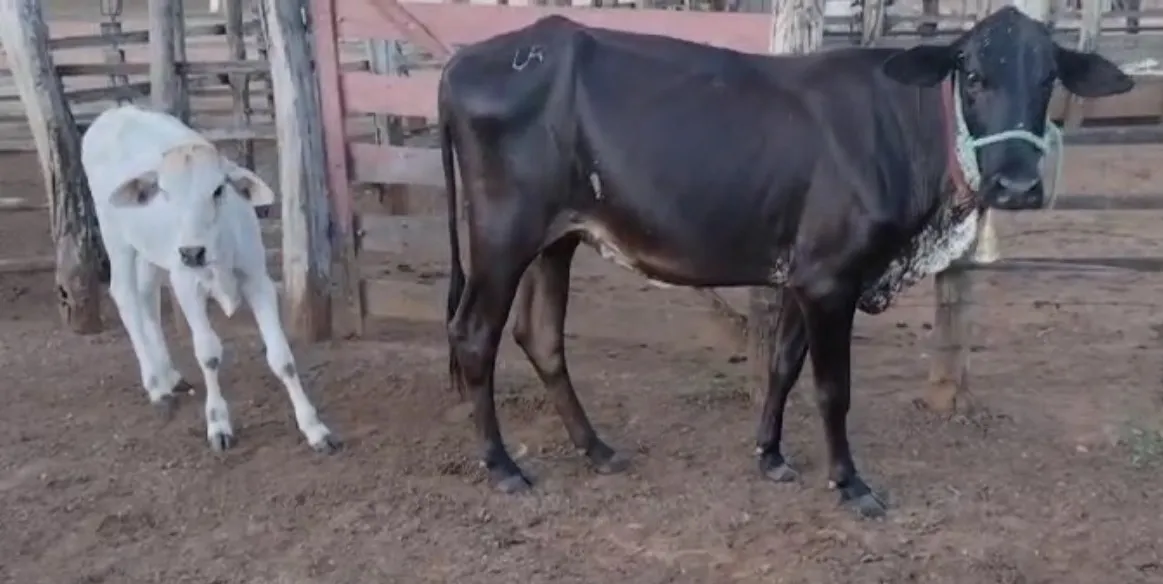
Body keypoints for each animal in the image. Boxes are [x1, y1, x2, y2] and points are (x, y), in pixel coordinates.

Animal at [81, 104, 340, 454]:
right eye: (165, 192)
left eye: (218, 190)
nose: (191, 252)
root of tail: (115, 111)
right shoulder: (186, 285)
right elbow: (208, 354)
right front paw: (218, 424)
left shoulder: (257, 279)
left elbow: (282, 357)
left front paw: (314, 428)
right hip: (116, 238)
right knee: (125, 296)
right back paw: (156, 386)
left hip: (150, 252)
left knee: (147, 296)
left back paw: (169, 375)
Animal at [440, 7, 1132, 517]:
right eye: (973, 73)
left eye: (1047, 78)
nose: (1016, 185)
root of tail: (463, 61)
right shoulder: (833, 278)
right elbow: (832, 388)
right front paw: (850, 483)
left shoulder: (807, 274)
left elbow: (783, 364)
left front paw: (770, 455)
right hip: (503, 234)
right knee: (474, 334)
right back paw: (503, 466)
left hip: (558, 237)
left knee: (541, 336)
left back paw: (597, 449)